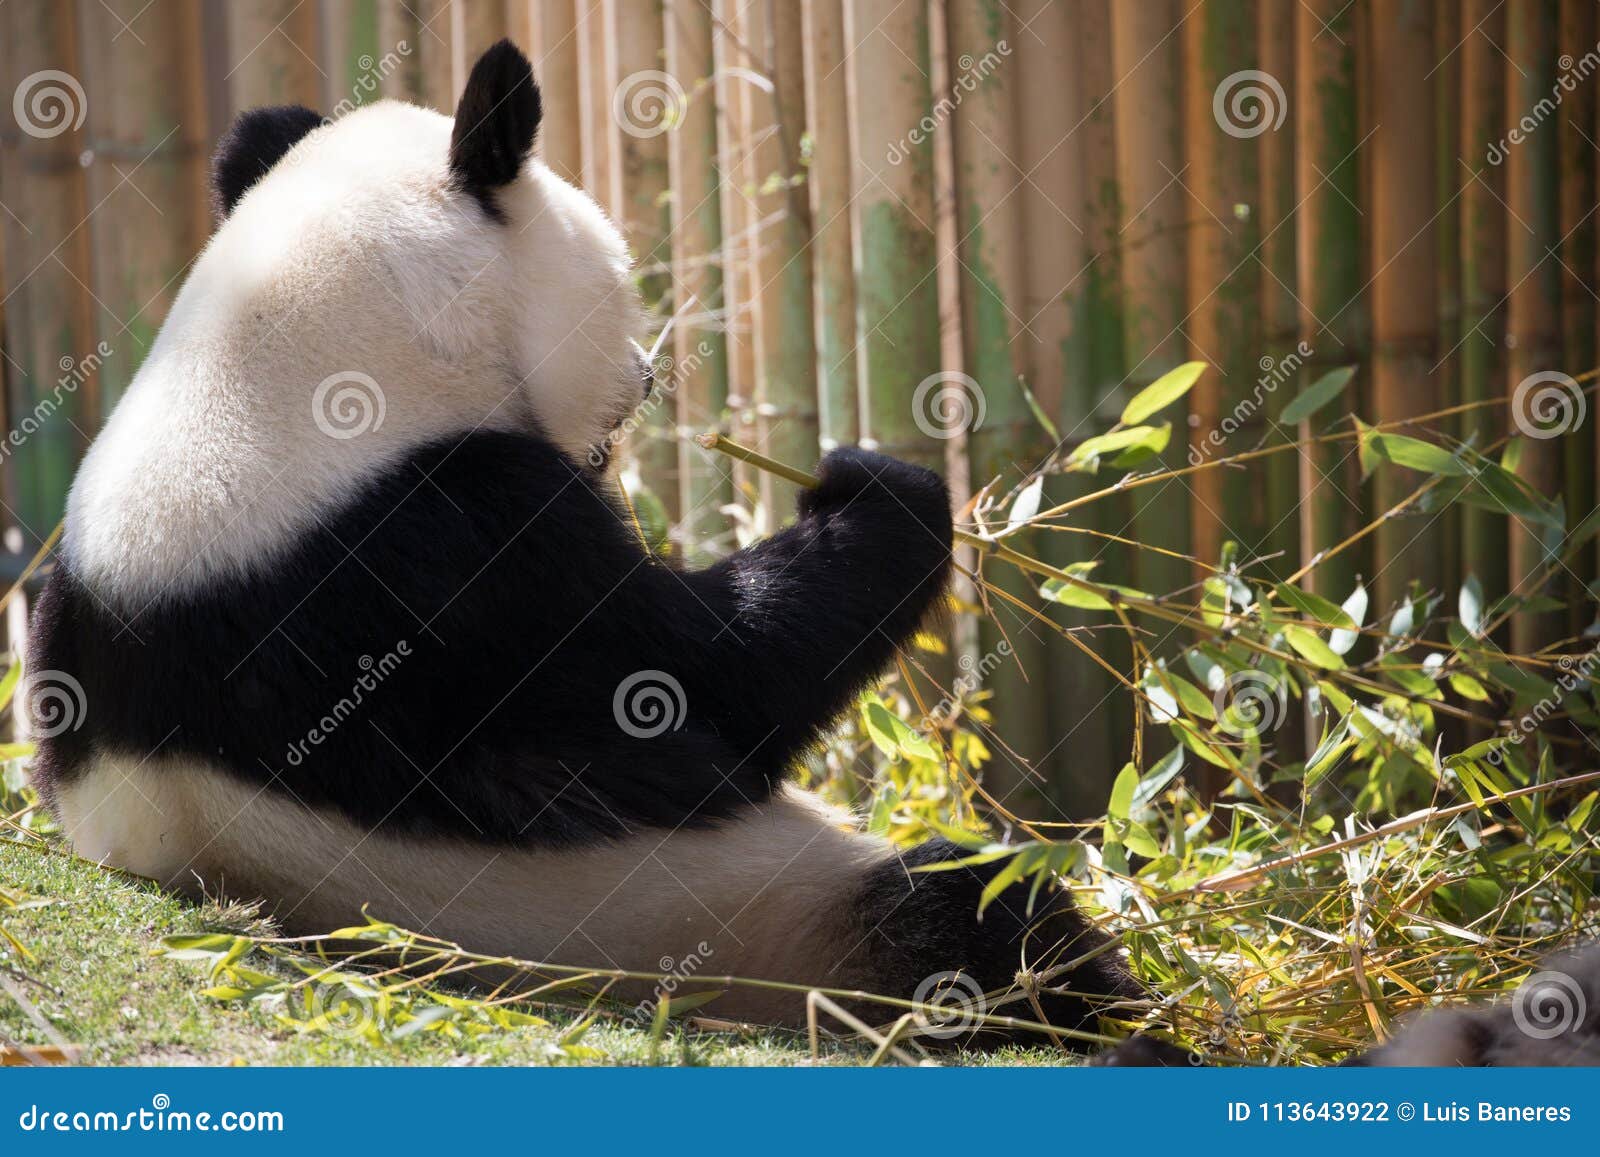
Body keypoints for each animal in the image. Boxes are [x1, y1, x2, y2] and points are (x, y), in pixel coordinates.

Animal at [24, 40, 1144, 1043]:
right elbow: (711, 686)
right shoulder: (448, 555)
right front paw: (875, 487)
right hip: (756, 915)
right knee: (968, 916)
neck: (284, 362)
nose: (647, 374)